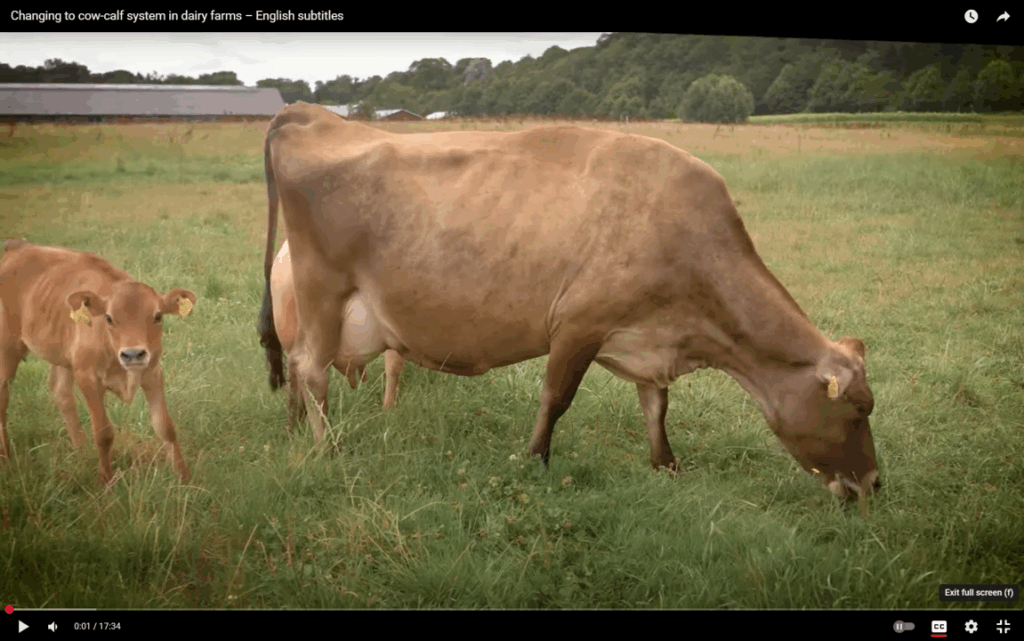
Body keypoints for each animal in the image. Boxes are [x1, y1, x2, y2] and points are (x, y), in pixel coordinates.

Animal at [0, 239, 194, 486]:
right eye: (109, 318)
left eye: (158, 316)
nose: (133, 354)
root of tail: (18, 245)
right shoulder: (88, 378)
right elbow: (103, 433)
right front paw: (106, 482)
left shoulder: (152, 372)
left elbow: (165, 427)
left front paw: (185, 478)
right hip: (7, 348)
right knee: (3, 396)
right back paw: (5, 457)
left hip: (63, 357)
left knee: (60, 390)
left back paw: (82, 452)